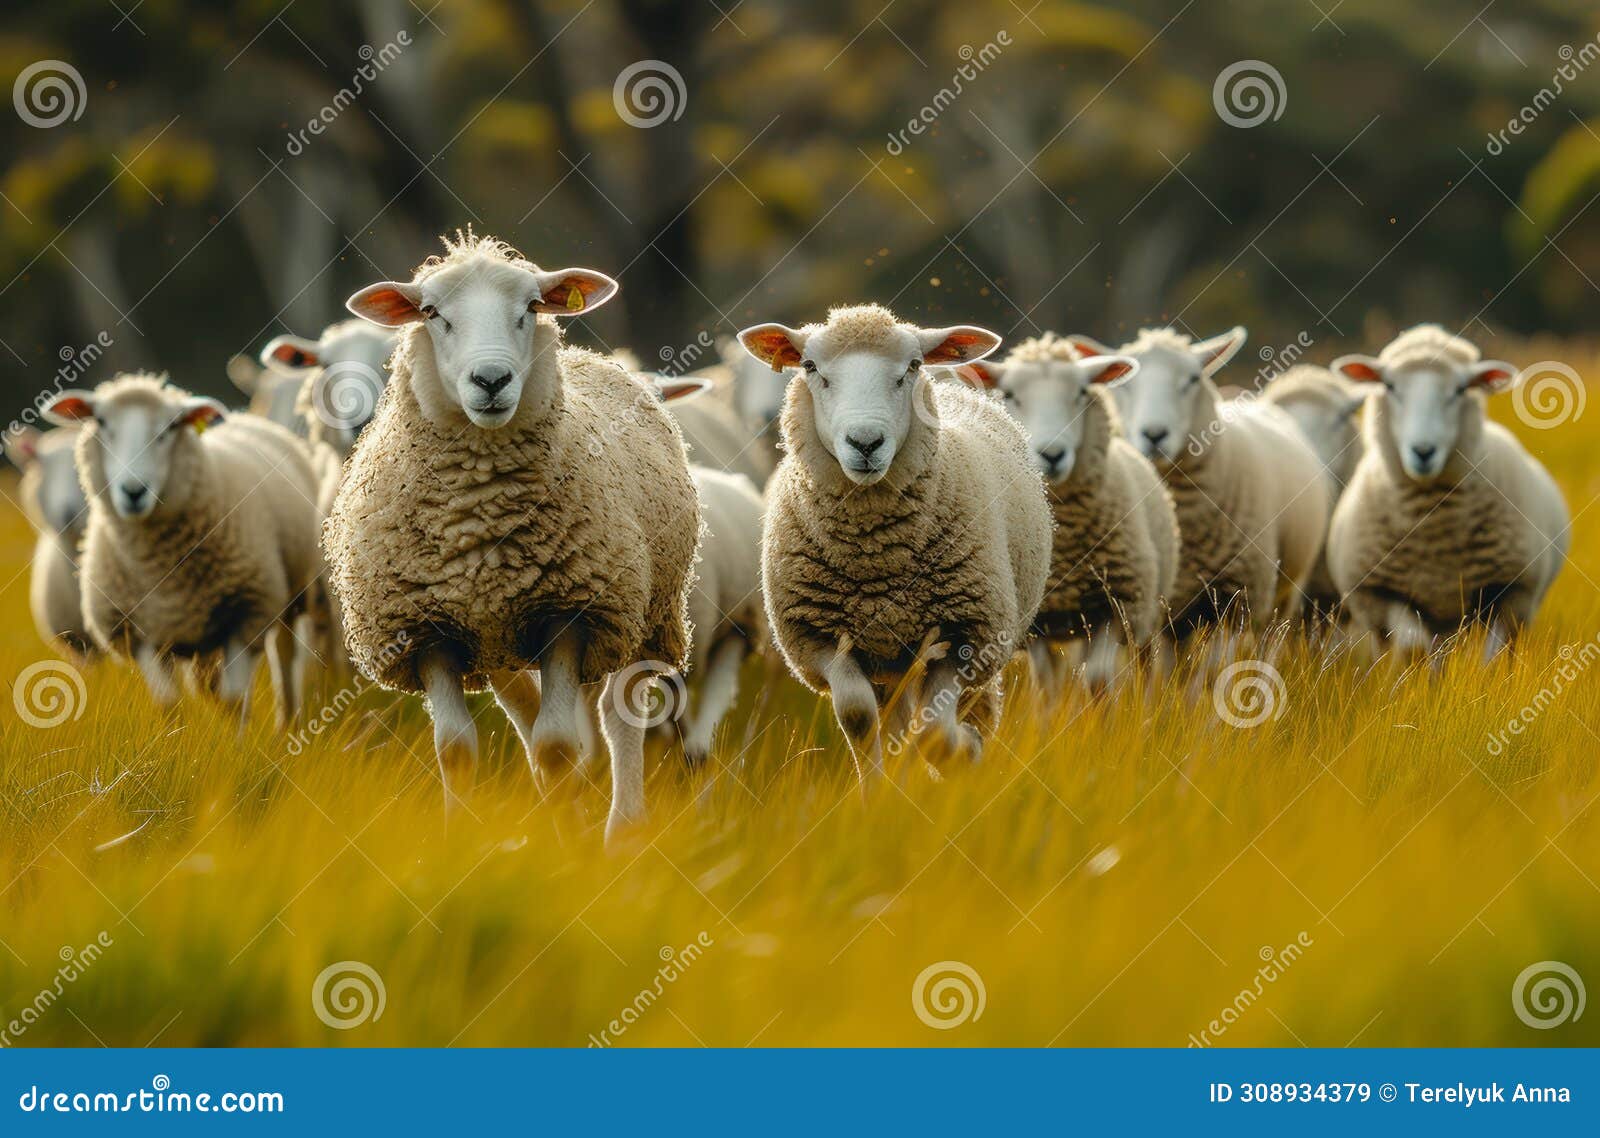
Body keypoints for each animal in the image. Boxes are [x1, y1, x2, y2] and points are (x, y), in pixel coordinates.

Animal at [43, 374, 323, 725]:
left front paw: (235, 737)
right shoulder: (141, 637)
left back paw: (287, 723)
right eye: (102, 422)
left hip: (291, 597)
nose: (133, 491)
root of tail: (241, 416)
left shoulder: (245, 617)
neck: (159, 568)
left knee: (284, 659)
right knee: (207, 679)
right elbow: (169, 703)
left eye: (170, 427)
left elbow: (235, 699)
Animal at [324, 232, 701, 839]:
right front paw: (465, 837)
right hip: (497, 640)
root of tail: (596, 360)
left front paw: (566, 840)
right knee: (525, 715)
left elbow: (558, 747)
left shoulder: (570, 615)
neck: (481, 513)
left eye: (530, 308)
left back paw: (623, 829)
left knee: (616, 720)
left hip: (641, 612)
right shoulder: (428, 630)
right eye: (432, 313)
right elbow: (456, 749)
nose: (491, 380)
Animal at [743, 303, 1052, 774]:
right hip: (888, 660)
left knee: (970, 709)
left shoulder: (965, 634)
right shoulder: (817, 637)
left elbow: (935, 732)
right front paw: (875, 789)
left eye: (913, 366)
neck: (876, 558)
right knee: (897, 719)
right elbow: (859, 717)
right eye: (810, 367)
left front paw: (966, 749)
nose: (866, 442)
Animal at [957, 334, 1178, 689]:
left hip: (1145, 611)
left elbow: (1097, 679)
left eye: (1080, 393)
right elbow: (1046, 684)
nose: (1052, 454)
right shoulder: (1035, 623)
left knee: (1144, 661)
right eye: (1010, 395)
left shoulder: (1112, 607)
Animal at [1327, 325, 1569, 657]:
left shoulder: (1512, 593)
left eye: (1460, 389)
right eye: (1389, 386)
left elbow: (1490, 658)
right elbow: (1411, 644)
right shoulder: (1378, 595)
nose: (1423, 451)